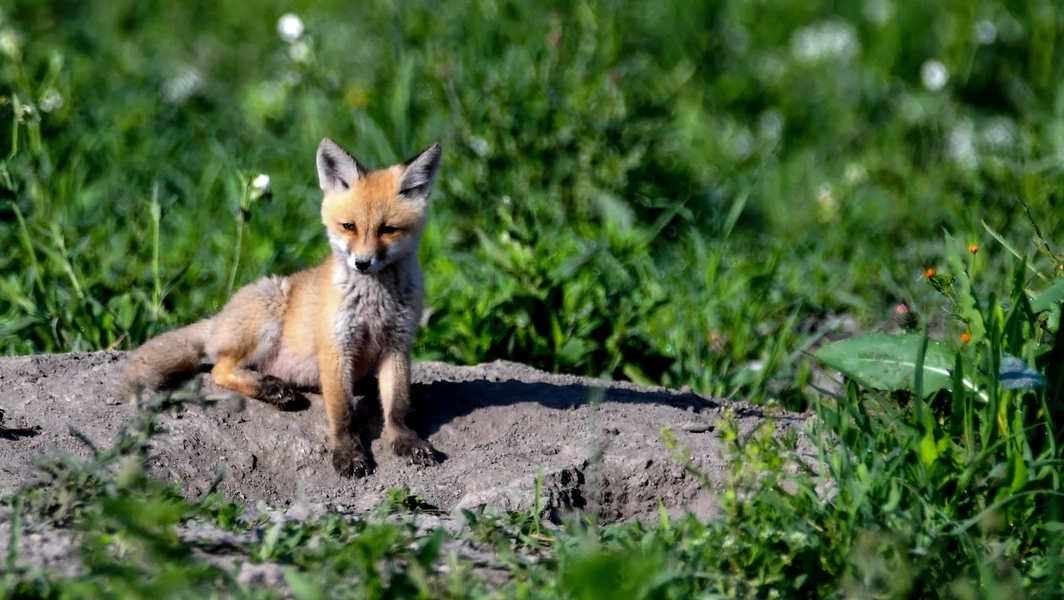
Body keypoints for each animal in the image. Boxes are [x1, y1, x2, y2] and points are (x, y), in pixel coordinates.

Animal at [125, 137, 442, 478]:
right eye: (349, 226)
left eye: (388, 229)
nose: (362, 263)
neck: (374, 303)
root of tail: (219, 318)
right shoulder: (335, 347)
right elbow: (343, 415)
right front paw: (348, 454)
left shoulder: (397, 346)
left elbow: (398, 408)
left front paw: (406, 442)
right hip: (267, 317)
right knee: (220, 369)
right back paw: (271, 389)